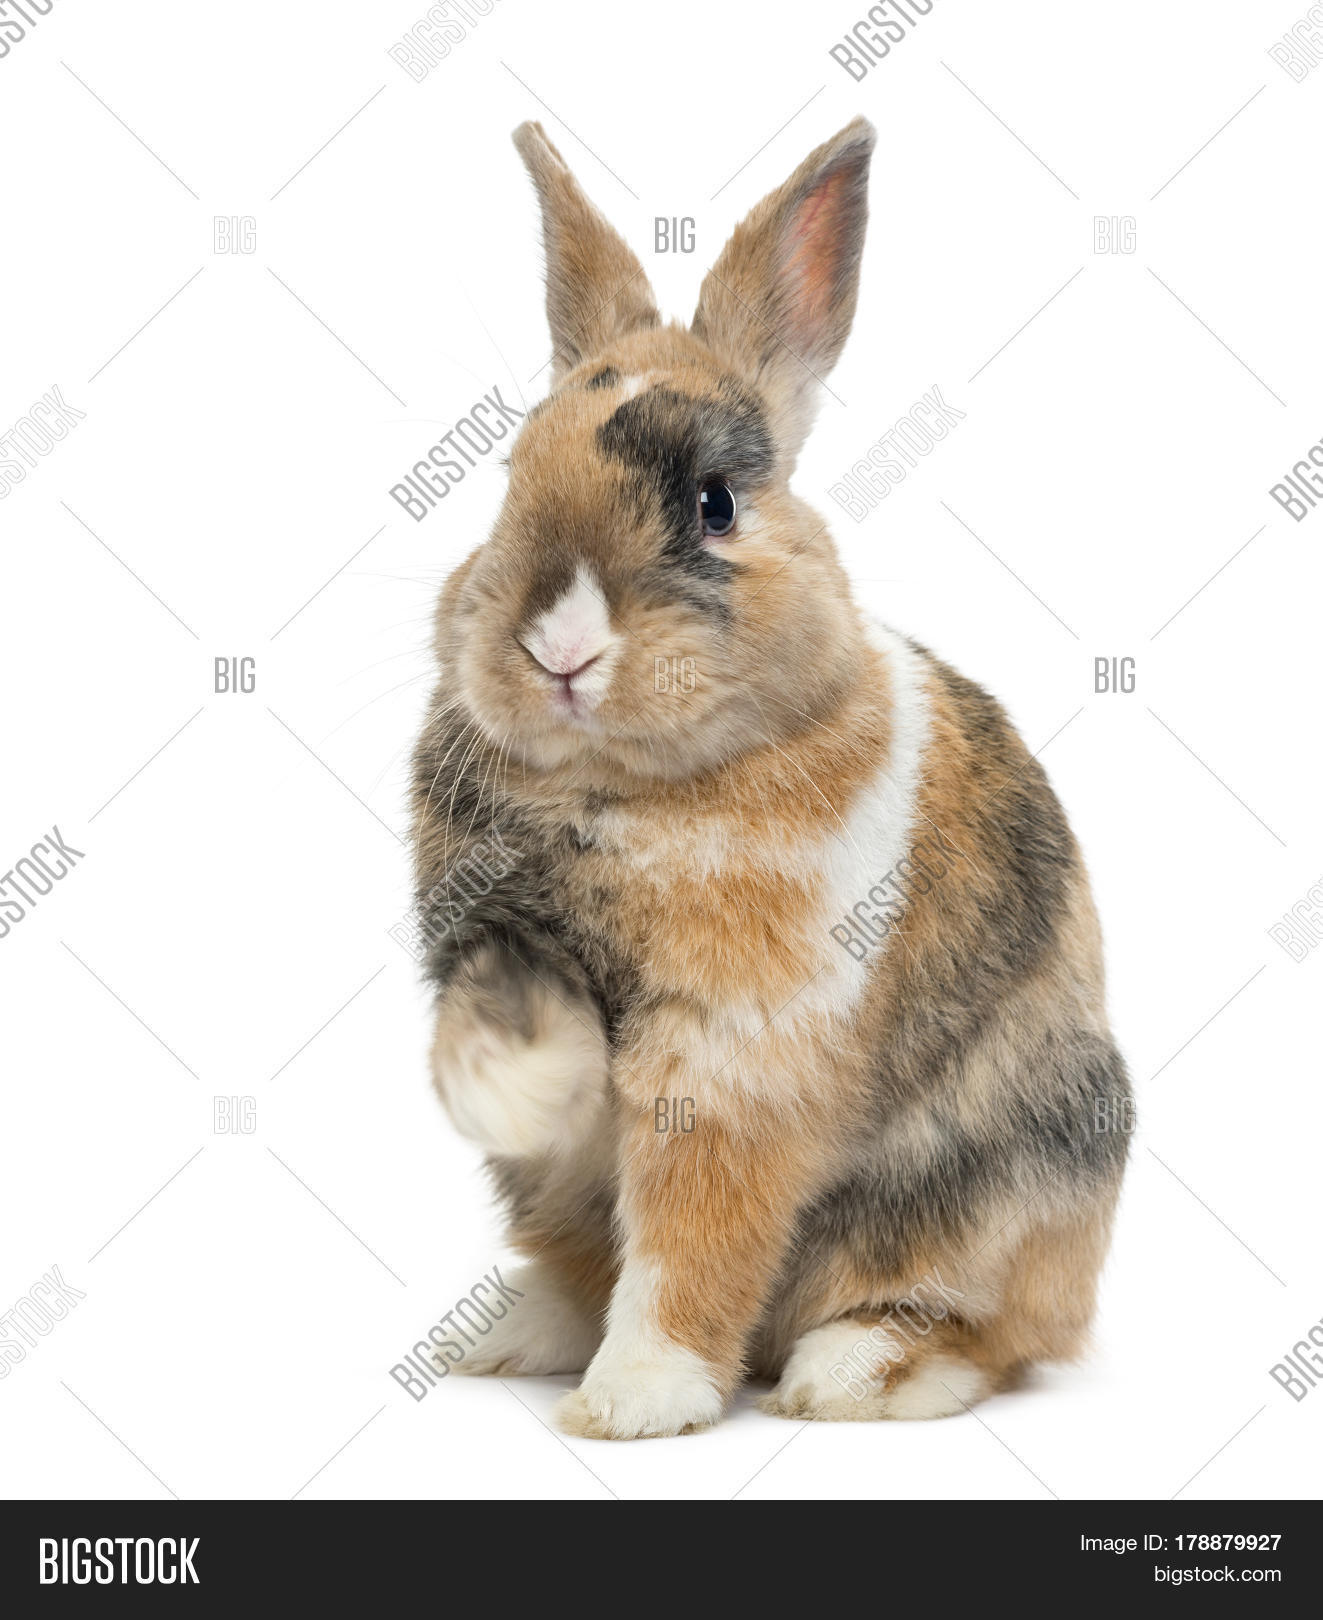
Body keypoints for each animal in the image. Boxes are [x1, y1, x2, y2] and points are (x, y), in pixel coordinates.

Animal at [410, 115, 1131, 1440]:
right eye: (511, 477)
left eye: (716, 504)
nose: (560, 650)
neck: (628, 790)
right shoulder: (498, 937)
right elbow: (507, 1044)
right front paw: (520, 1100)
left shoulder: (734, 1055)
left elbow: (689, 1239)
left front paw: (634, 1402)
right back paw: (502, 1332)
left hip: (1007, 1183)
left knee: (986, 1330)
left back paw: (846, 1375)